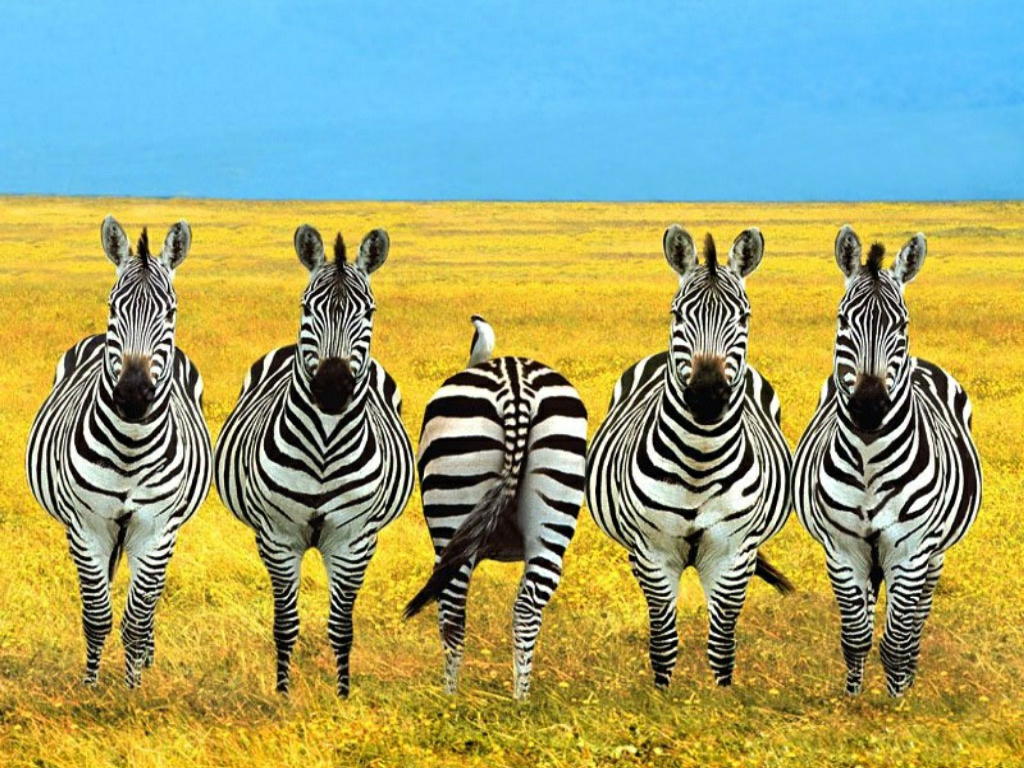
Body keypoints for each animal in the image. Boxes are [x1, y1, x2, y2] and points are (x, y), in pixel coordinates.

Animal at [25, 216, 211, 687]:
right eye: (113, 307)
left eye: (170, 312)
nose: (131, 394)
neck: (130, 445)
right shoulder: (85, 526)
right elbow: (97, 615)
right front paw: (91, 686)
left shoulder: (156, 528)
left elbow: (137, 617)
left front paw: (133, 688)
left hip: (166, 533)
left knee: (151, 600)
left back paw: (147, 658)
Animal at [214, 224, 414, 697]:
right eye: (306, 307)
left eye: (369, 311)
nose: (332, 387)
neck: (323, 445)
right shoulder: (278, 537)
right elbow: (285, 624)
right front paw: (283, 693)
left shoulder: (354, 541)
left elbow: (341, 627)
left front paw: (342, 695)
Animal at [404, 314, 588, 699]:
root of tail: (515, 383)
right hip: (556, 497)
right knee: (527, 607)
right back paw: (520, 700)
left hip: (452, 509)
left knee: (452, 610)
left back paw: (450, 699)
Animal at [586, 226, 793, 689]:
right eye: (677, 314)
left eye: (744, 318)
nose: (706, 395)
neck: (699, 462)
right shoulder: (652, 553)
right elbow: (663, 640)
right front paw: (662, 696)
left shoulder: (733, 554)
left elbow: (722, 643)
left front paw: (721, 697)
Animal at [792, 226, 982, 697]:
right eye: (843, 321)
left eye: (902, 324)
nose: (868, 406)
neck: (868, 461)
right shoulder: (842, 549)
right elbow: (856, 633)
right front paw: (853, 699)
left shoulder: (911, 549)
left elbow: (897, 638)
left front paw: (898, 701)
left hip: (932, 555)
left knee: (916, 620)